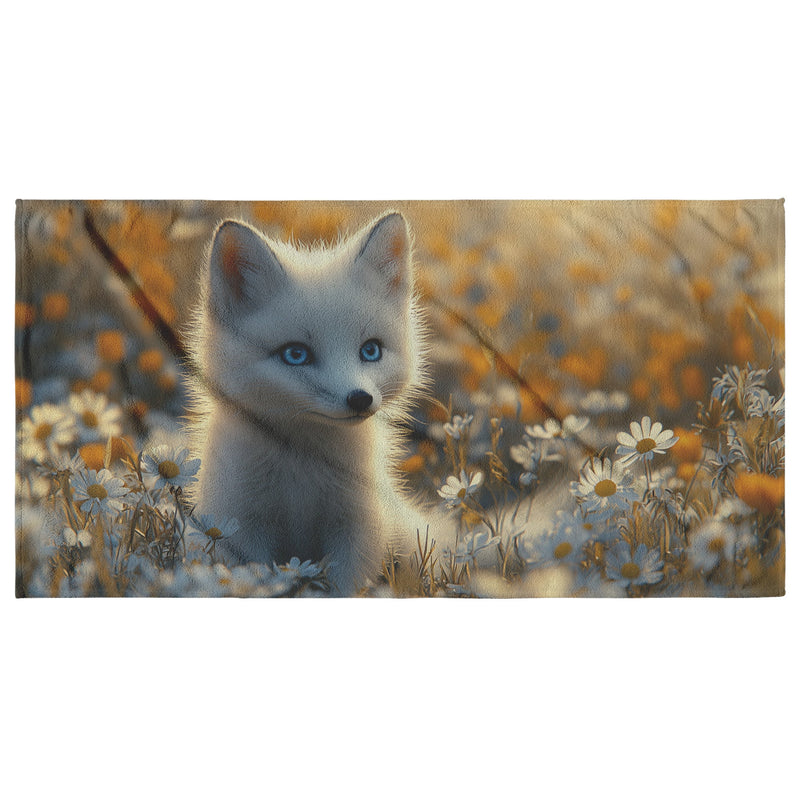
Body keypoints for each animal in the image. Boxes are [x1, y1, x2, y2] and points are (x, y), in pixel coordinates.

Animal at [186, 212, 438, 592]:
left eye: (371, 350)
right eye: (295, 354)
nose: (360, 399)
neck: (302, 474)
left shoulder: (356, 530)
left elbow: (346, 591)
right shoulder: (241, 527)